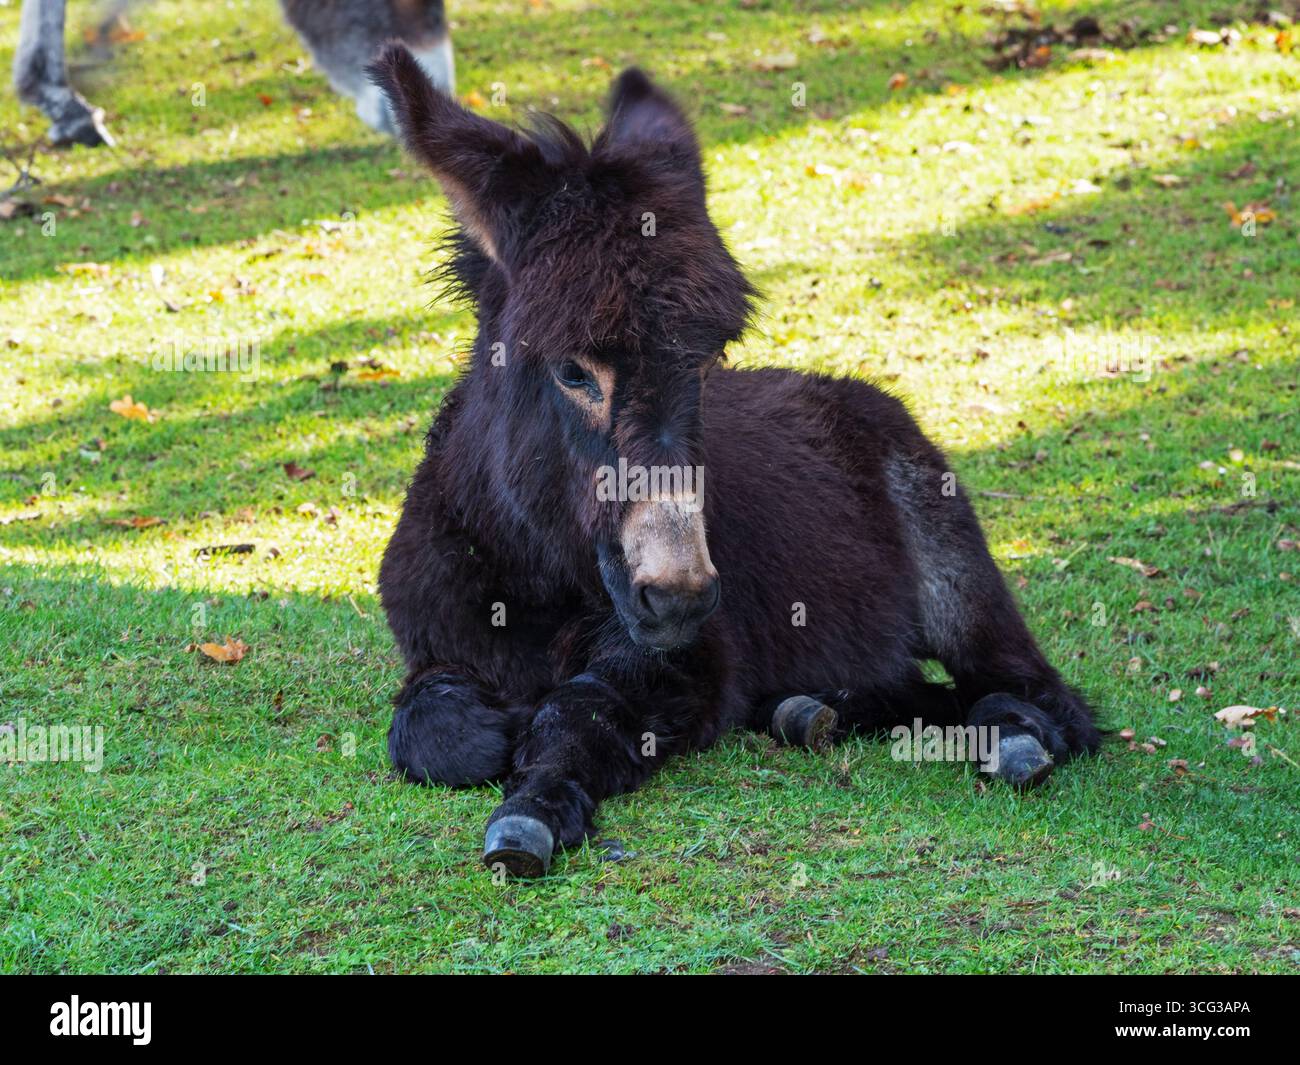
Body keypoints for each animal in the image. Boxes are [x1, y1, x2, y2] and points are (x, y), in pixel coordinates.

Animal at [368, 43, 1101, 878]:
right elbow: (433, 730)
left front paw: (532, 809)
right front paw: (491, 735)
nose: (679, 596)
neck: (534, 573)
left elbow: (576, 712)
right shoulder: (433, 646)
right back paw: (808, 710)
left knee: (1038, 693)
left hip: (955, 569)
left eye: (706, 359)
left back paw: (1013, 736)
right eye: (573, 371)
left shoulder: (688, 669)